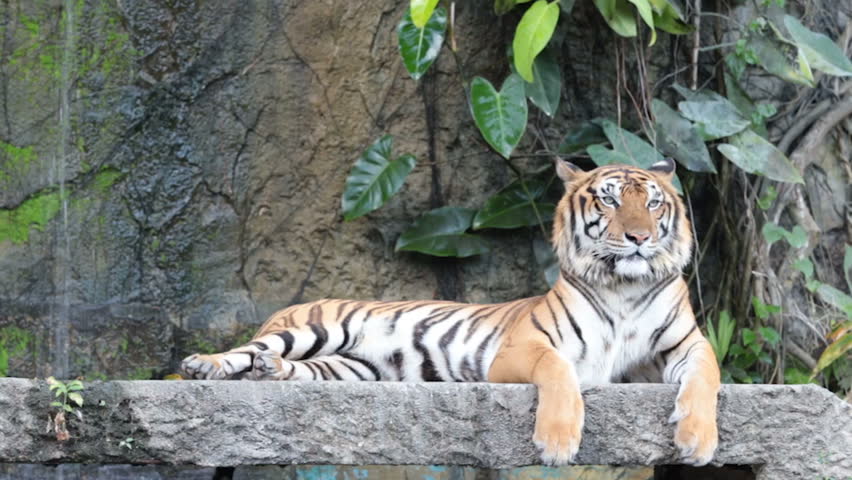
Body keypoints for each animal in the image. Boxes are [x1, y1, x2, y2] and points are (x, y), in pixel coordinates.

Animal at [181, 157, 720, 466]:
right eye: (608, 201)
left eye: (653, 204)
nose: (639, 238)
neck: (624, 287)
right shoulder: (524, 348)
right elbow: (559, 371)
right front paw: (557, 442)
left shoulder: (685, 347)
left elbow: (706, 378)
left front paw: (698, 441)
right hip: (314, 329)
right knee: (244, 350)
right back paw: (203, 365)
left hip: (350, 368)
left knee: (297, 370)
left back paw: (271, 372)